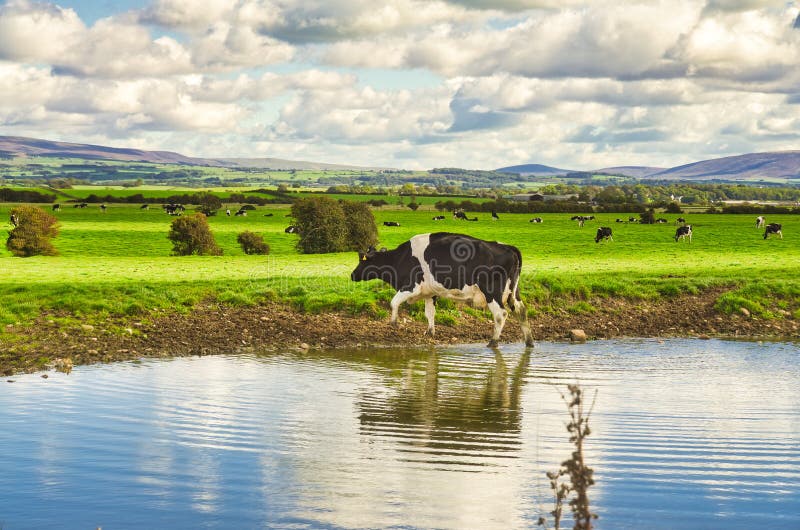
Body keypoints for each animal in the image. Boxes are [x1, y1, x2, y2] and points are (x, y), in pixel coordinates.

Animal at [350, 232, 534, 347]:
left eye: (362, 260)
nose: (352, 275)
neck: (399, 259)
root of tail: (508, 247)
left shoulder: (411, 286)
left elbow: (393, 302)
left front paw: (394, 322)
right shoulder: (429, 293)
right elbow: (429, 313)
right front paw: (430, 332)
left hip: (492, 291)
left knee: (500, 314)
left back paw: (493, 342)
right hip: (513, 292)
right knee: (521, 311)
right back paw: (529, 342)